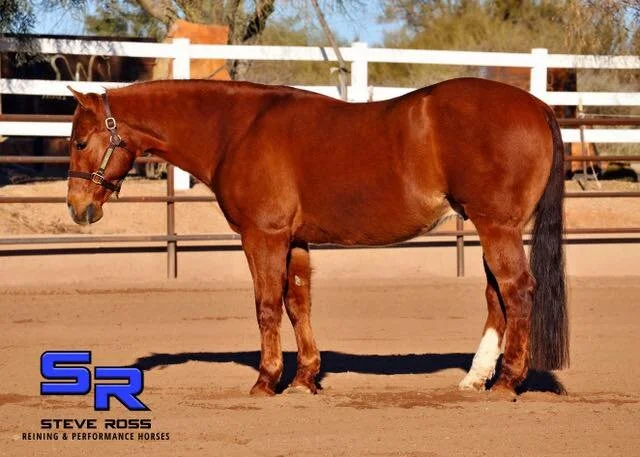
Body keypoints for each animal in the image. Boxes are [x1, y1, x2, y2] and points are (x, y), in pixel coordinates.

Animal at [66, 78, 569, 397]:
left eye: (79, 141)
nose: (77, 207)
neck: (236, 130)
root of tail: (538, 106)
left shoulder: (263, 236)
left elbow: (267, 306)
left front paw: (266, 380)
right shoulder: (295, 241)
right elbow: (298, 304)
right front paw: (304, 378)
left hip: (496, 226)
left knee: (516, 292)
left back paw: (508, 381)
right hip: (490, 227)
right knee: (496, 297)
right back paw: (476, 378)